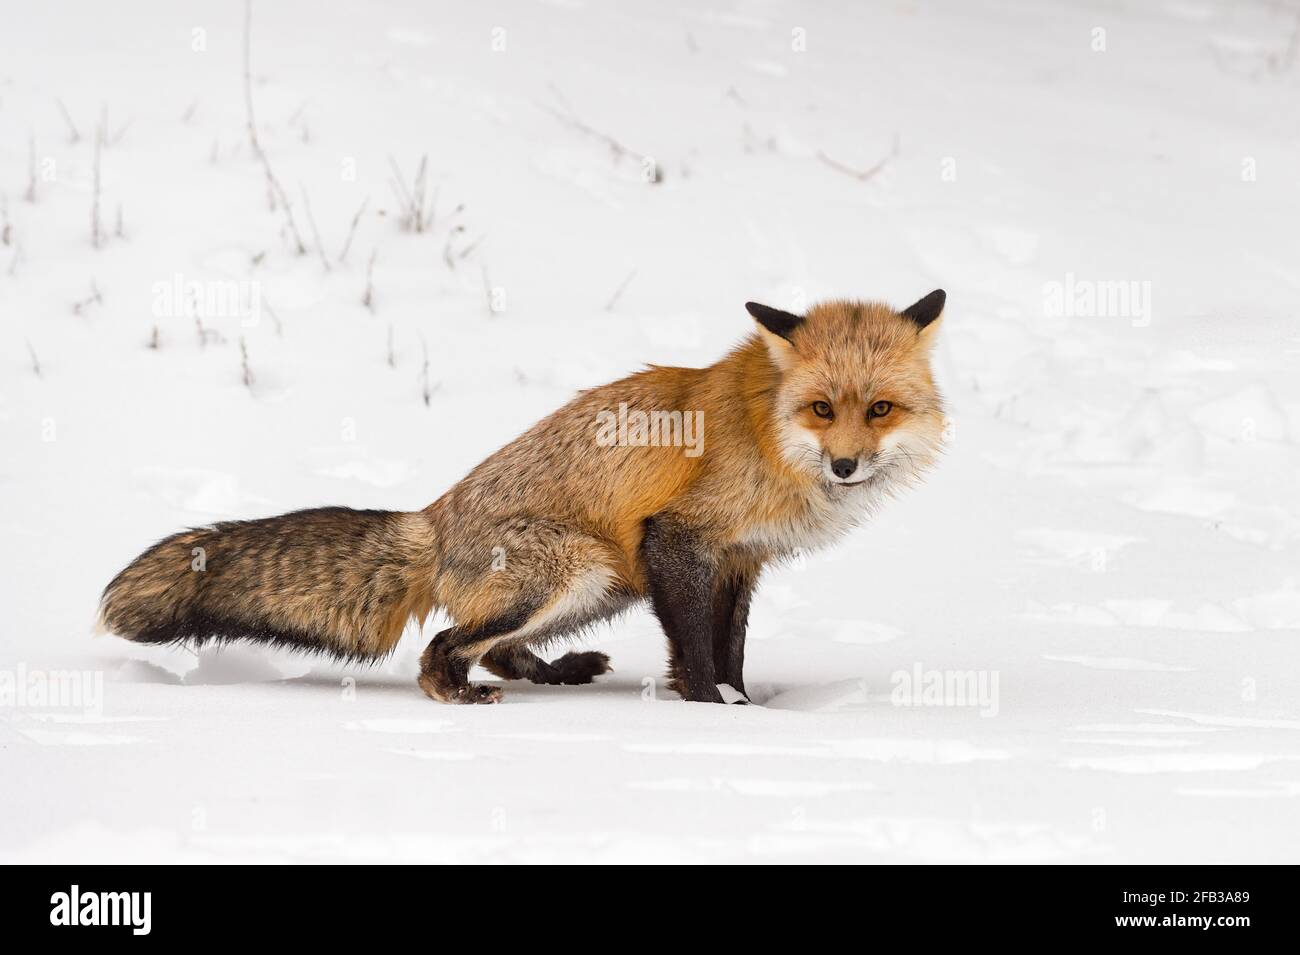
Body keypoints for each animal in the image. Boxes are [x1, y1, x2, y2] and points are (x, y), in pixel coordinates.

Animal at [99, 290, 948, 704]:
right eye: (821, 409)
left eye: (880, 409)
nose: (845, 465)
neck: (767, 434)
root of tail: (432, 519)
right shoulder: (677, 536)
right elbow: (698, 655)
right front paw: (714, 713)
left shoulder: (739, 561)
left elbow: (729, 647)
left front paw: (745, 706)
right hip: (575, 567)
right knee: (445, 646)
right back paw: (456, 693)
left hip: (606, 581)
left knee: (499, 650)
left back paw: (554, 673)